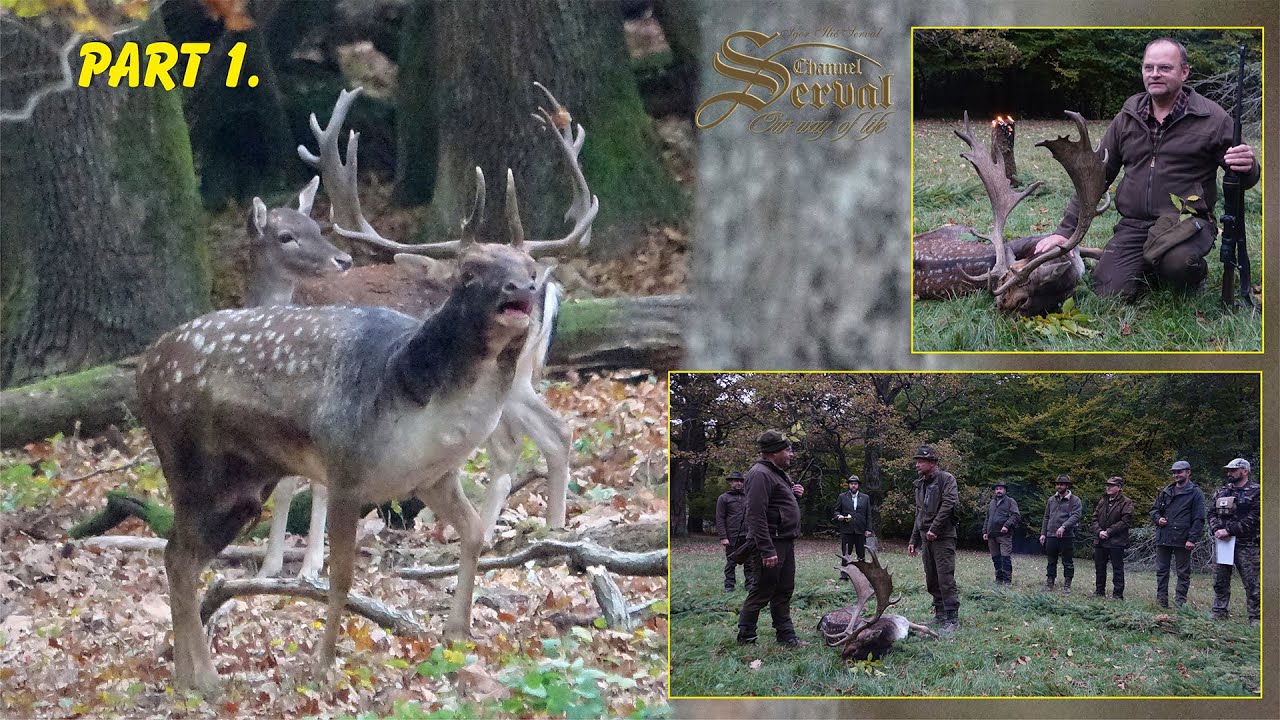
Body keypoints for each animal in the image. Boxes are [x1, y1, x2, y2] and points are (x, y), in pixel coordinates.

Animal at [250, 84, 587, 581]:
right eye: (287, 236)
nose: (521, 288)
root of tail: (552, 286)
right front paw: (276, 566)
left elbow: (307, 481)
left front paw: (300, 567)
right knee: (532, 440)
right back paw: (535, 534)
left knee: (543, 437)